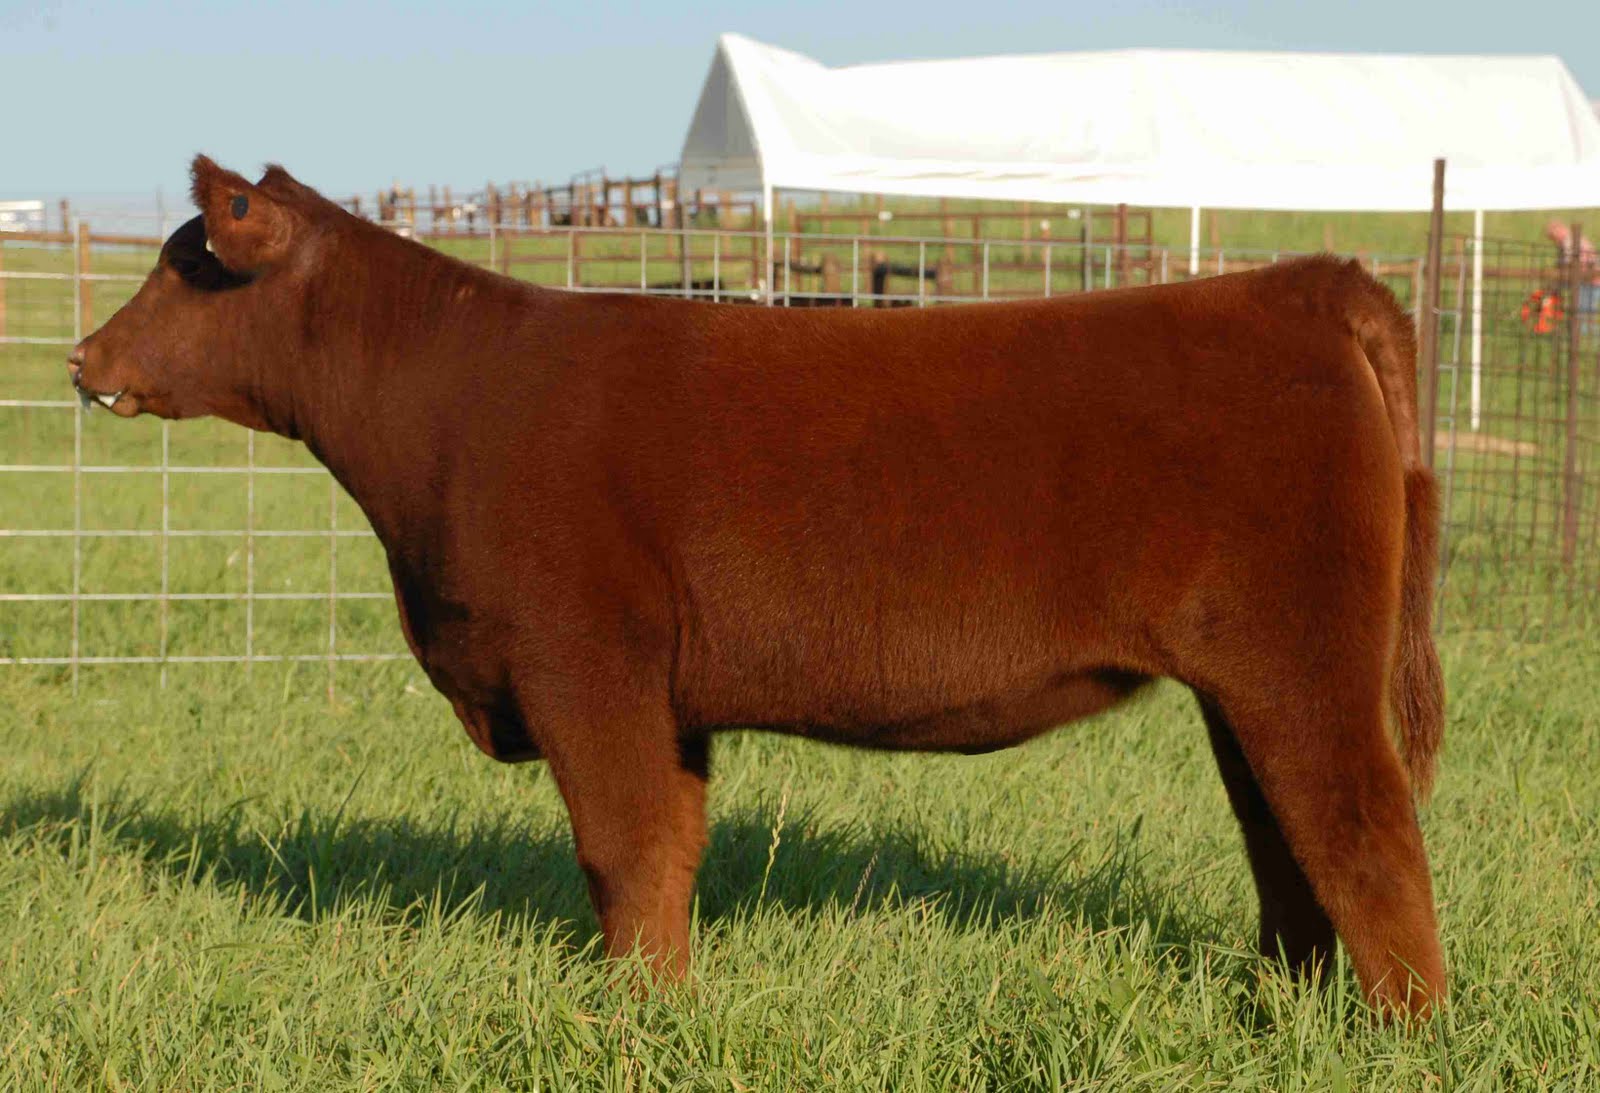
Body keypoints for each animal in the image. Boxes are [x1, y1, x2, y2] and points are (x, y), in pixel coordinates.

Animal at [68, 157, 1447, 1017]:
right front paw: (663, 1002)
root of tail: (1300, 283)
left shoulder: (584, 664)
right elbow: (666, 851)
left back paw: (1400, 1034)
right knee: (1285, 837)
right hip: (1249, 682)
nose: (83, 357)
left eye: (192, 265)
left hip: (1304, 662)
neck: (452, 399)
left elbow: (621, 845)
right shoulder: (663, 699)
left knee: (1363, 832)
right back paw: (1286, 1006)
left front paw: (633, 1015)